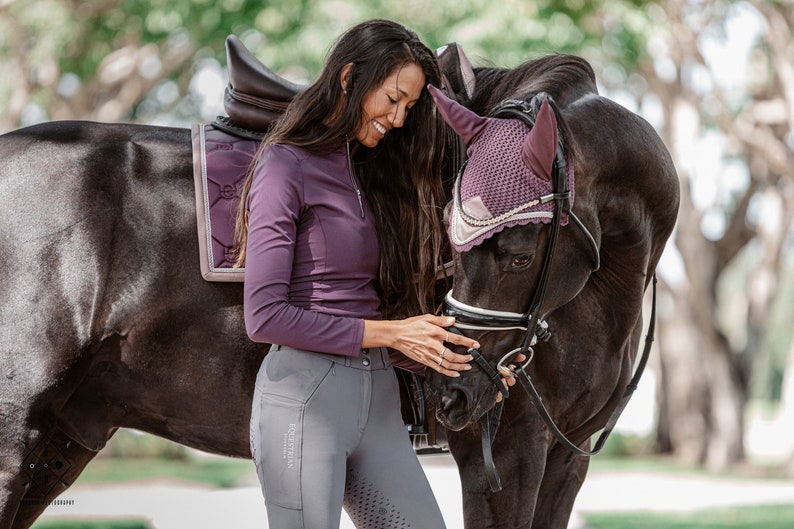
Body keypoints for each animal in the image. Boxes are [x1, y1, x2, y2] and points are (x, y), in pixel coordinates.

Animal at [0, 39, 678, 529]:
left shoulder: (565, 458)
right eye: (453, 248)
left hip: (63, 435)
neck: (601, 295)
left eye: (516, 256)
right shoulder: (508, 454)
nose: (450, 396)